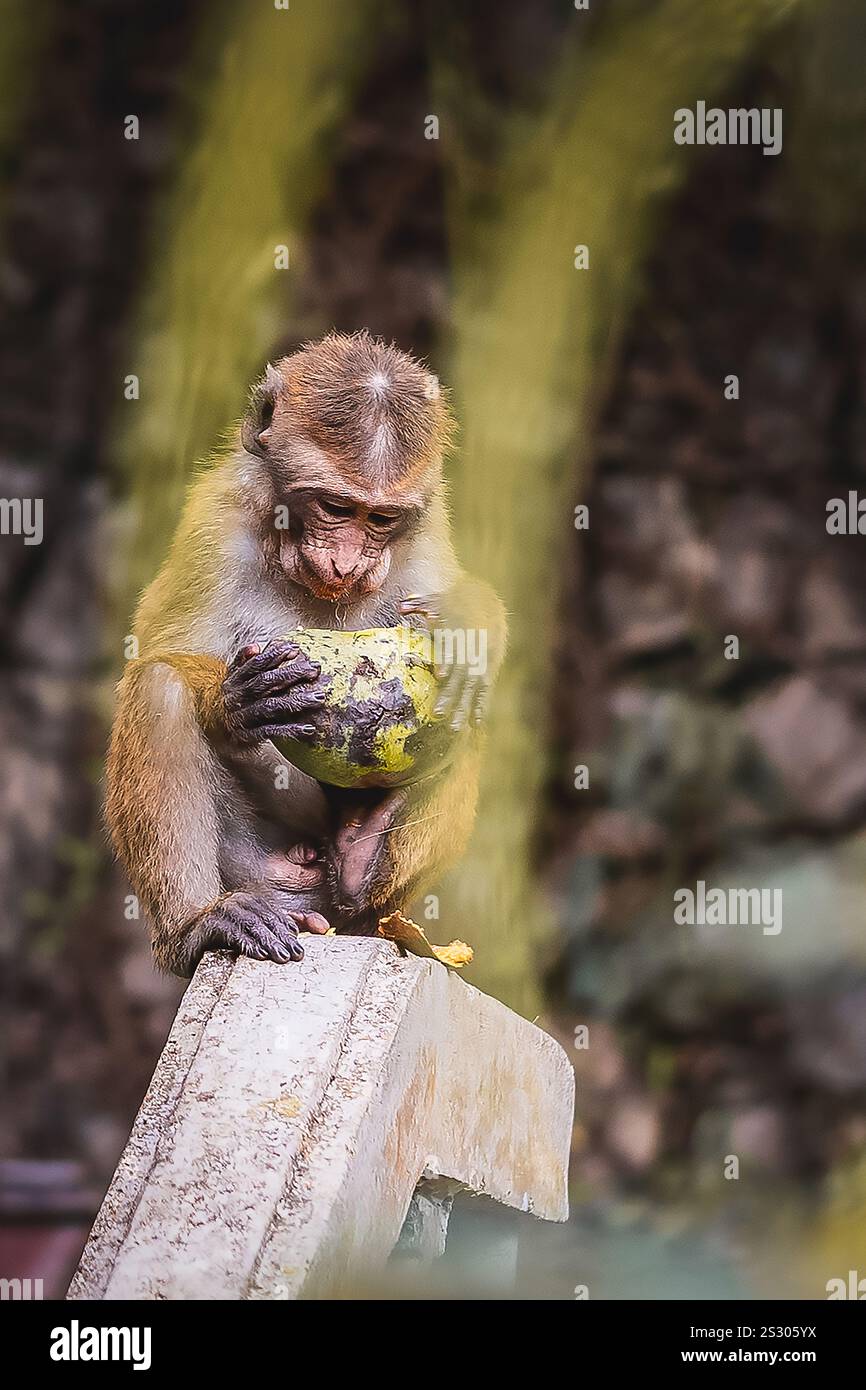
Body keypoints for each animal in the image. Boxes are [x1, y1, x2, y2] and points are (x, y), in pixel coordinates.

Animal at [106, 332, 506, 976]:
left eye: (381, 518)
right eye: (336, 508)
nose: (345, 563)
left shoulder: (423, 534)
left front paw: (474, 621)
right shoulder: (215, 523)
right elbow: (161, 650)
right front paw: (234, 703)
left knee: (469, 710)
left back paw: (360, 858)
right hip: (256, 866)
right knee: (158, 686)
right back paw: (200, 924)